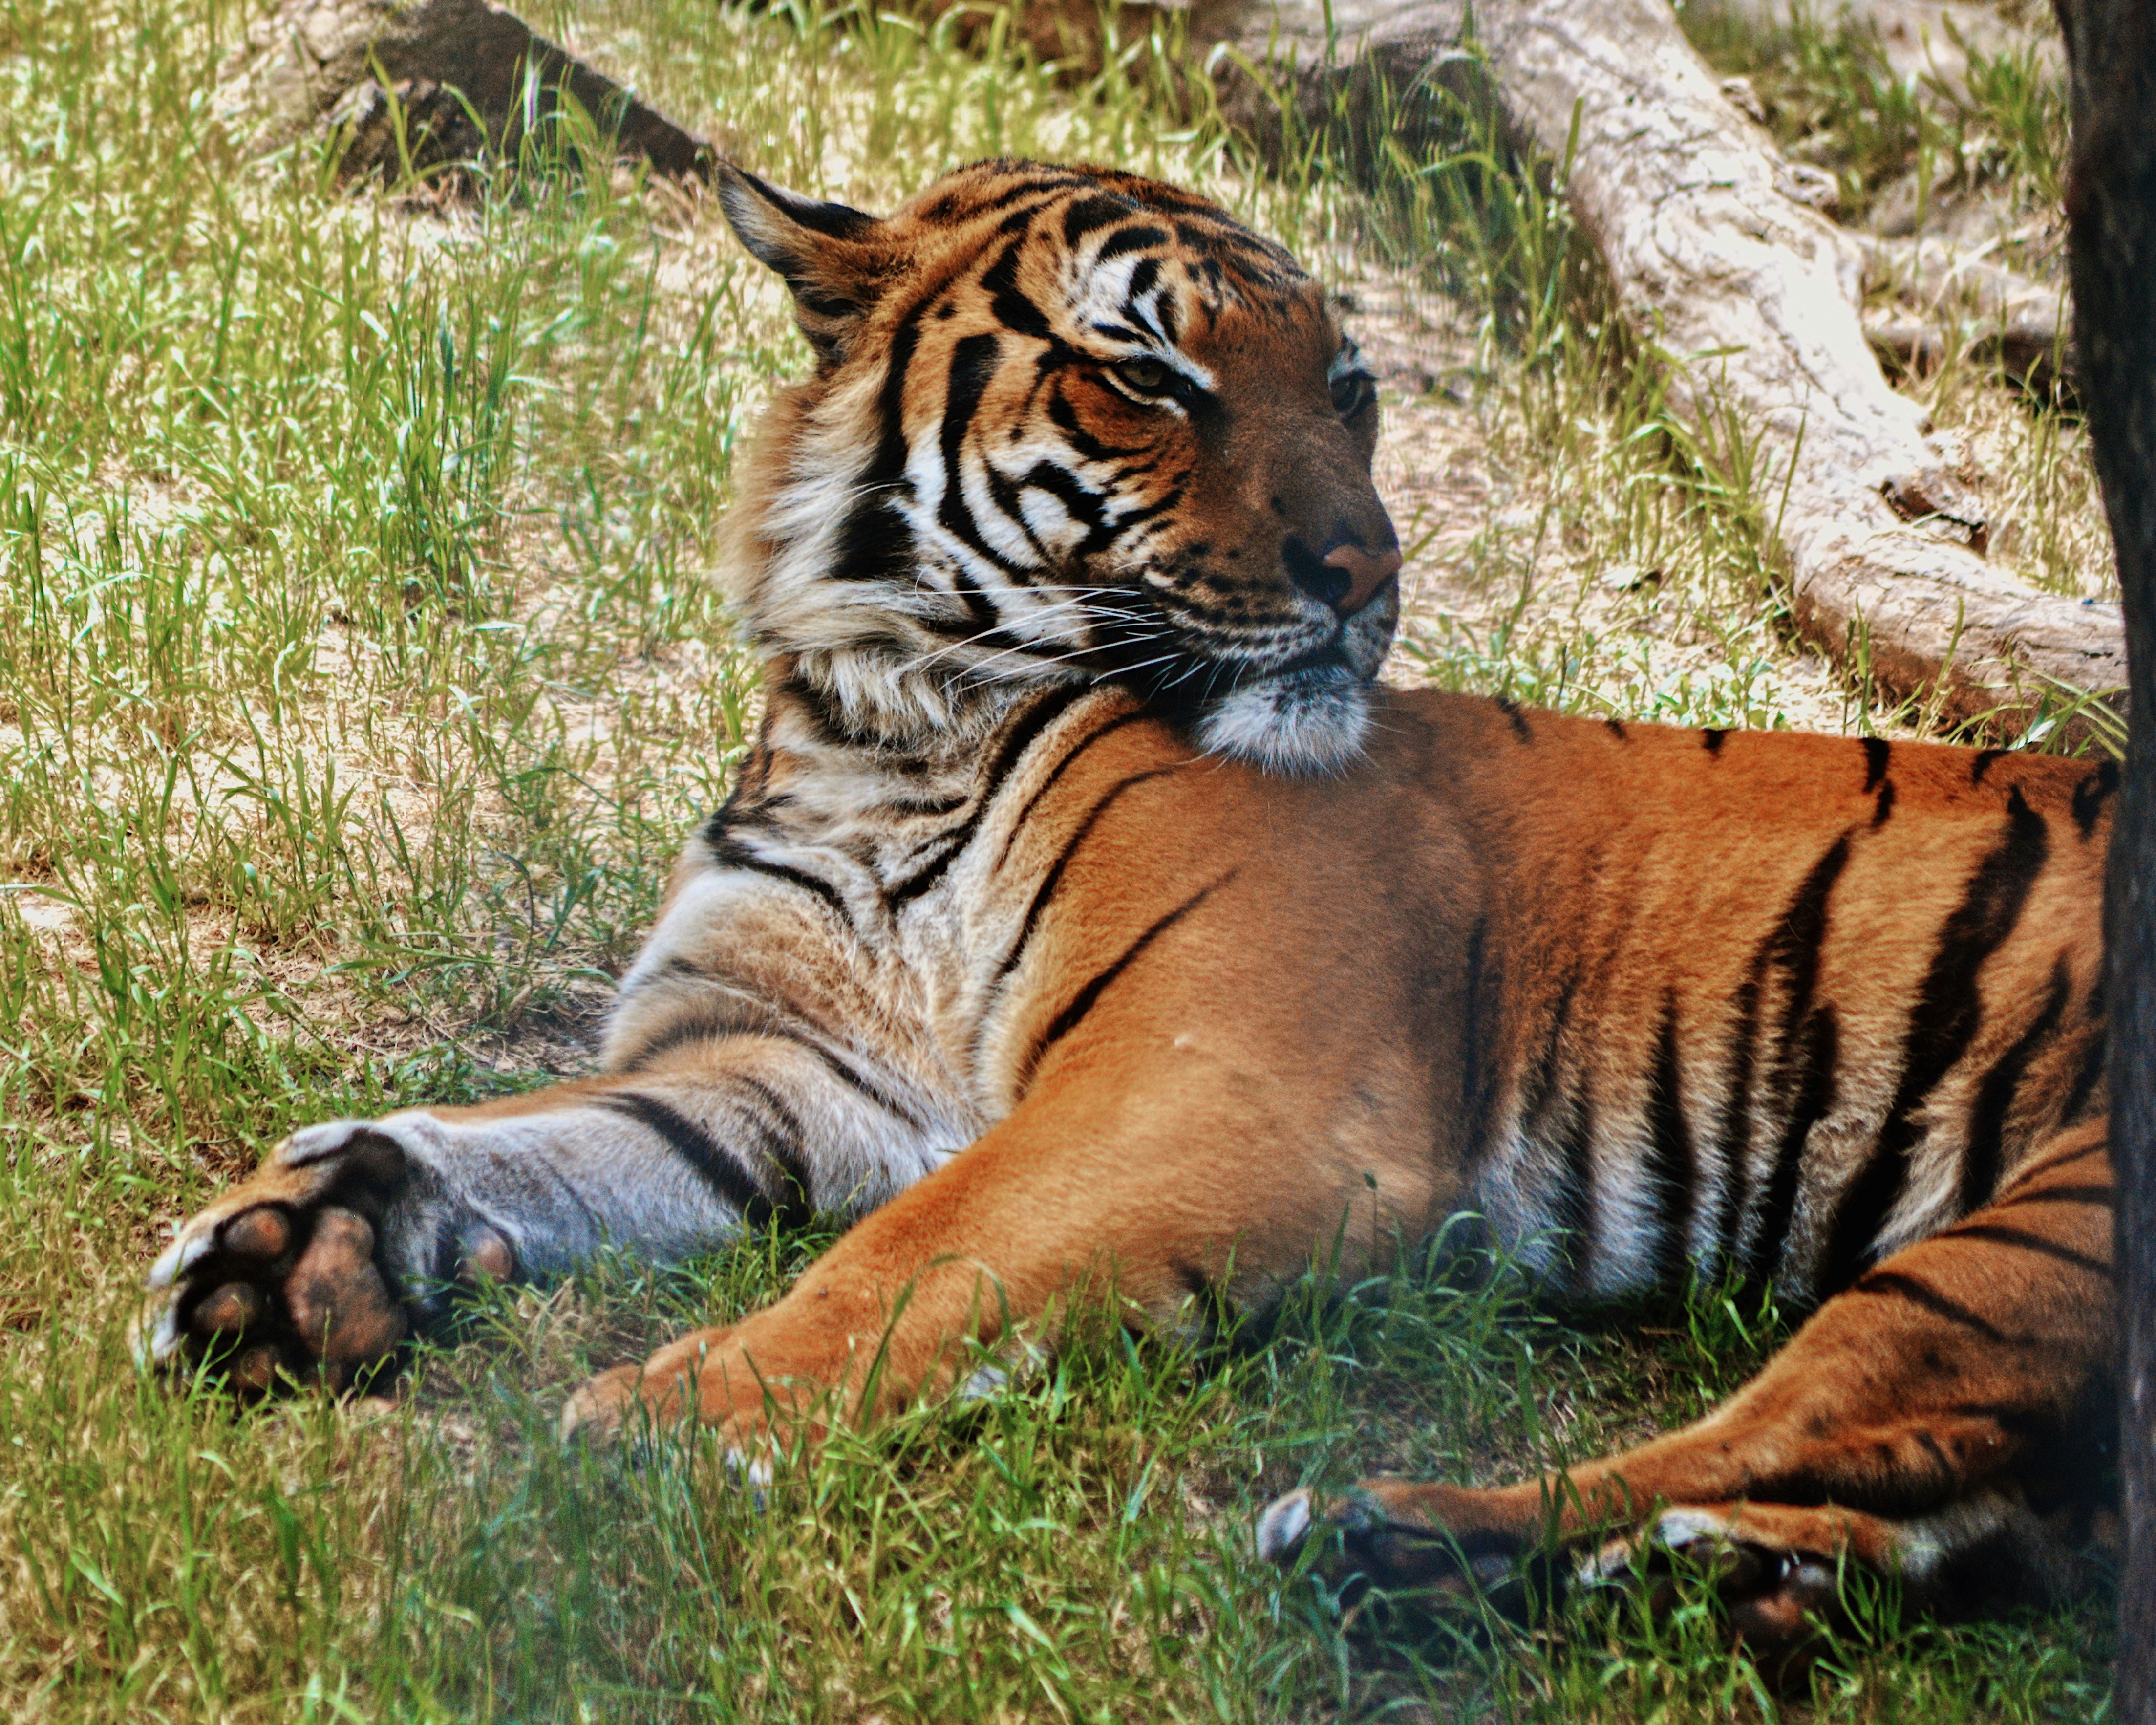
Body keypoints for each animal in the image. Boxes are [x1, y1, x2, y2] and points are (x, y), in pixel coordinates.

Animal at [137, 157, 2117, 1667]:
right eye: (1152, 376)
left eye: (1350, 391)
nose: (1368, 569)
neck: (892, 726)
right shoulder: (772, 1067)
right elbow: (528, 1134)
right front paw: (287, 1244)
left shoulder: (1215, 1080)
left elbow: (918, 1251)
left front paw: (678, 1413)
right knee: (1935, 1503)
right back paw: (1678, 1581)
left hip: (2046, 1224)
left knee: (1812, 1430)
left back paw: (1385, 1545)